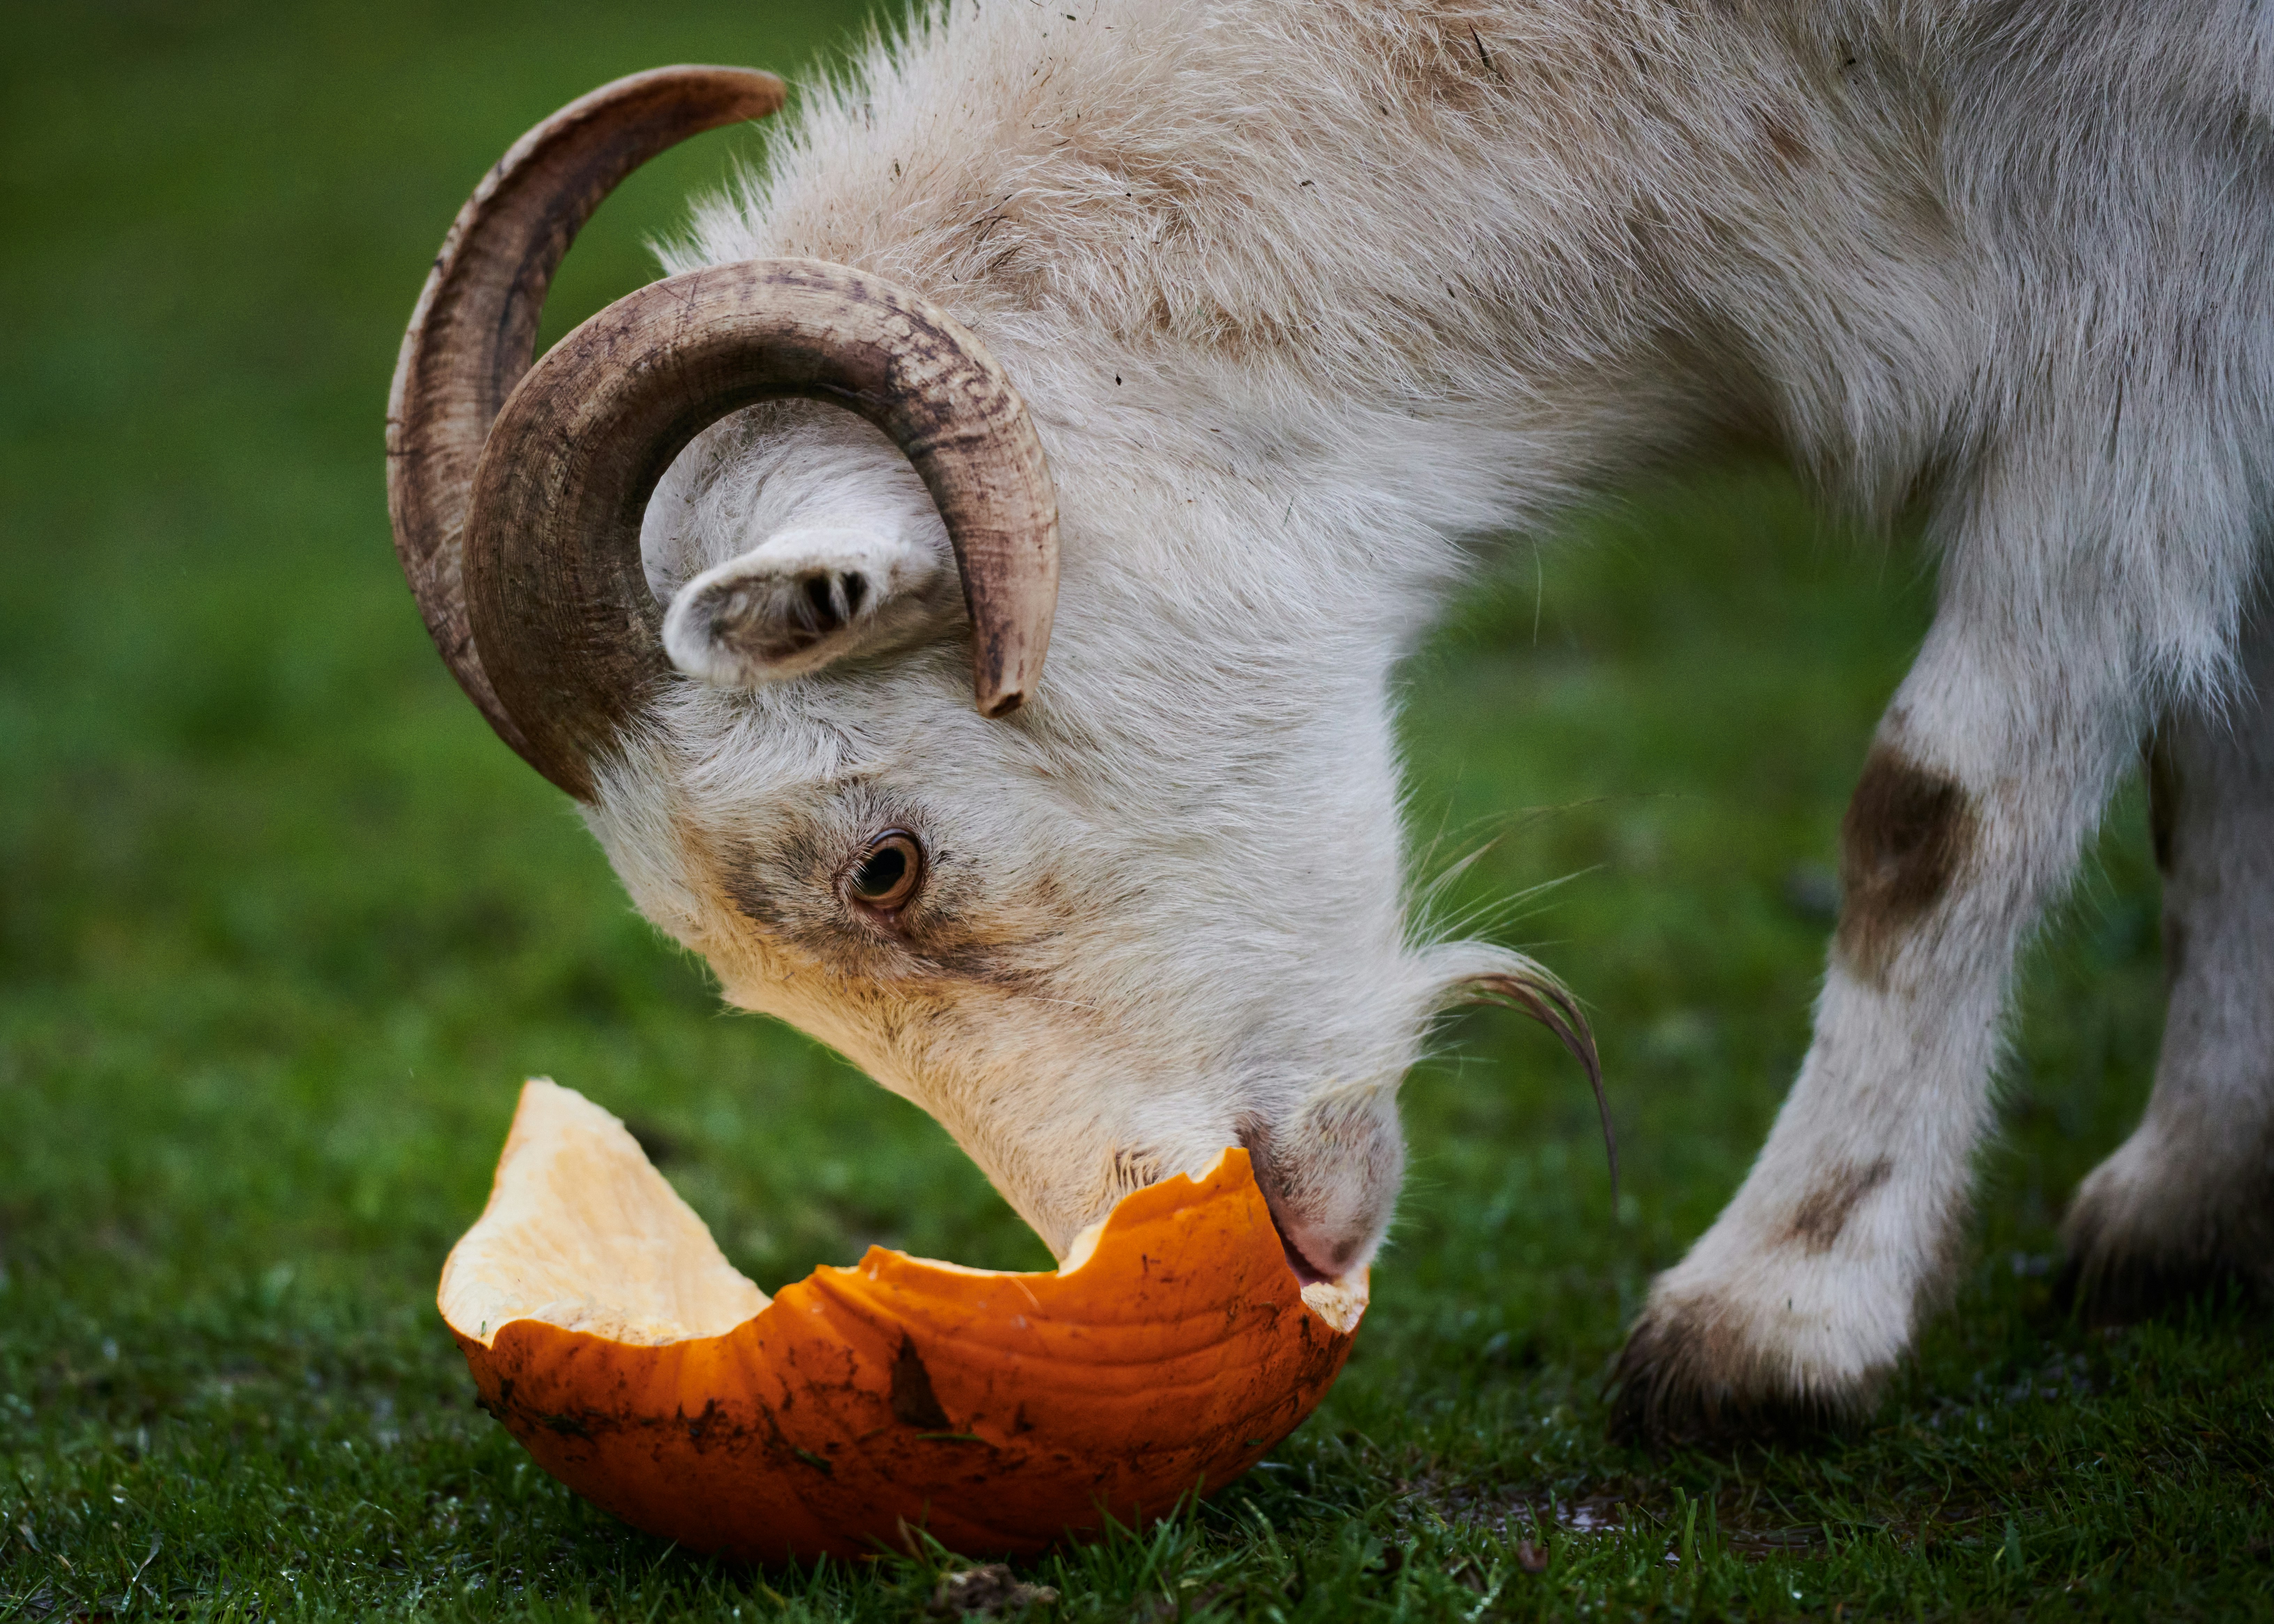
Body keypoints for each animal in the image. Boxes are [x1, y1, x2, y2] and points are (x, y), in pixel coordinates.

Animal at [386, 1, 2274, 1446]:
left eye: (884, 864)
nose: (1277, 1252)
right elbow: (2217, 774)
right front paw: (2194, 1195)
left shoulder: (2144, 297)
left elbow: (1931, 809)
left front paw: (1772, 1325)